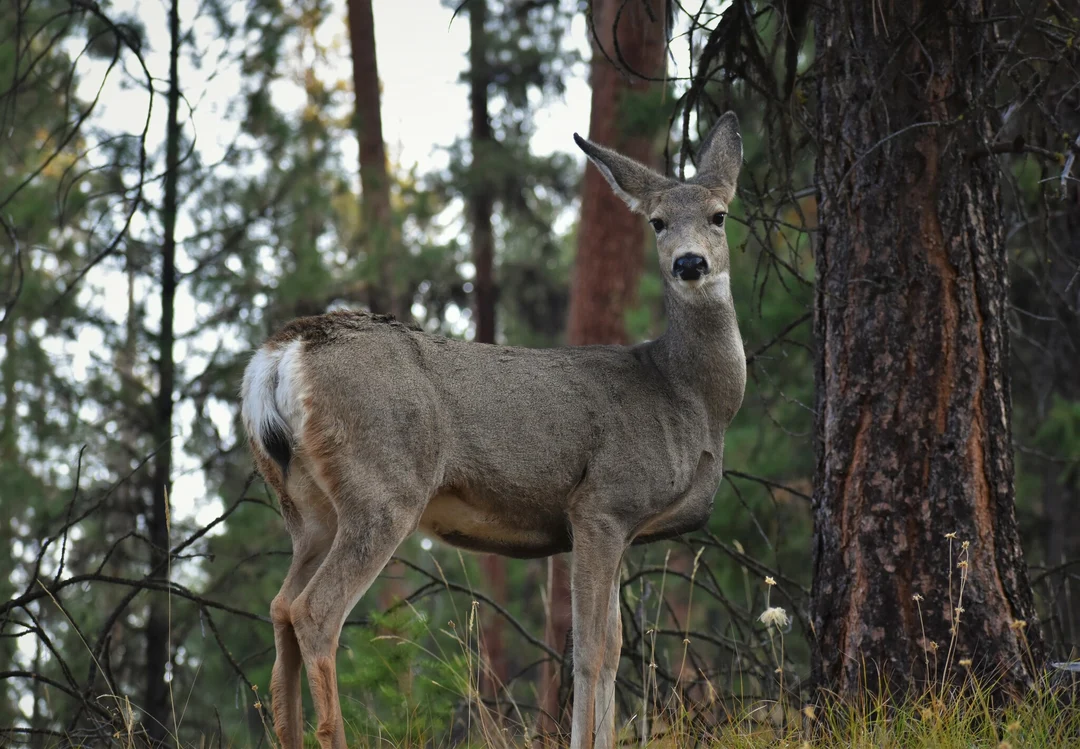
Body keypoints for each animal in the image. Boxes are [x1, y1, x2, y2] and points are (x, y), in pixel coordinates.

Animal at [240, 111, 745, 749]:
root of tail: (284, 353)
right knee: (314, 611)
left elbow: (610, 649)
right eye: (656, 221)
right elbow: (590, 653)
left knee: (281, 607)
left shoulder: (622, 526)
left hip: (304, 506)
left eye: (719, 214)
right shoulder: (602, 502)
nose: (689, 263)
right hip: (383, 484)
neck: (689, 398)